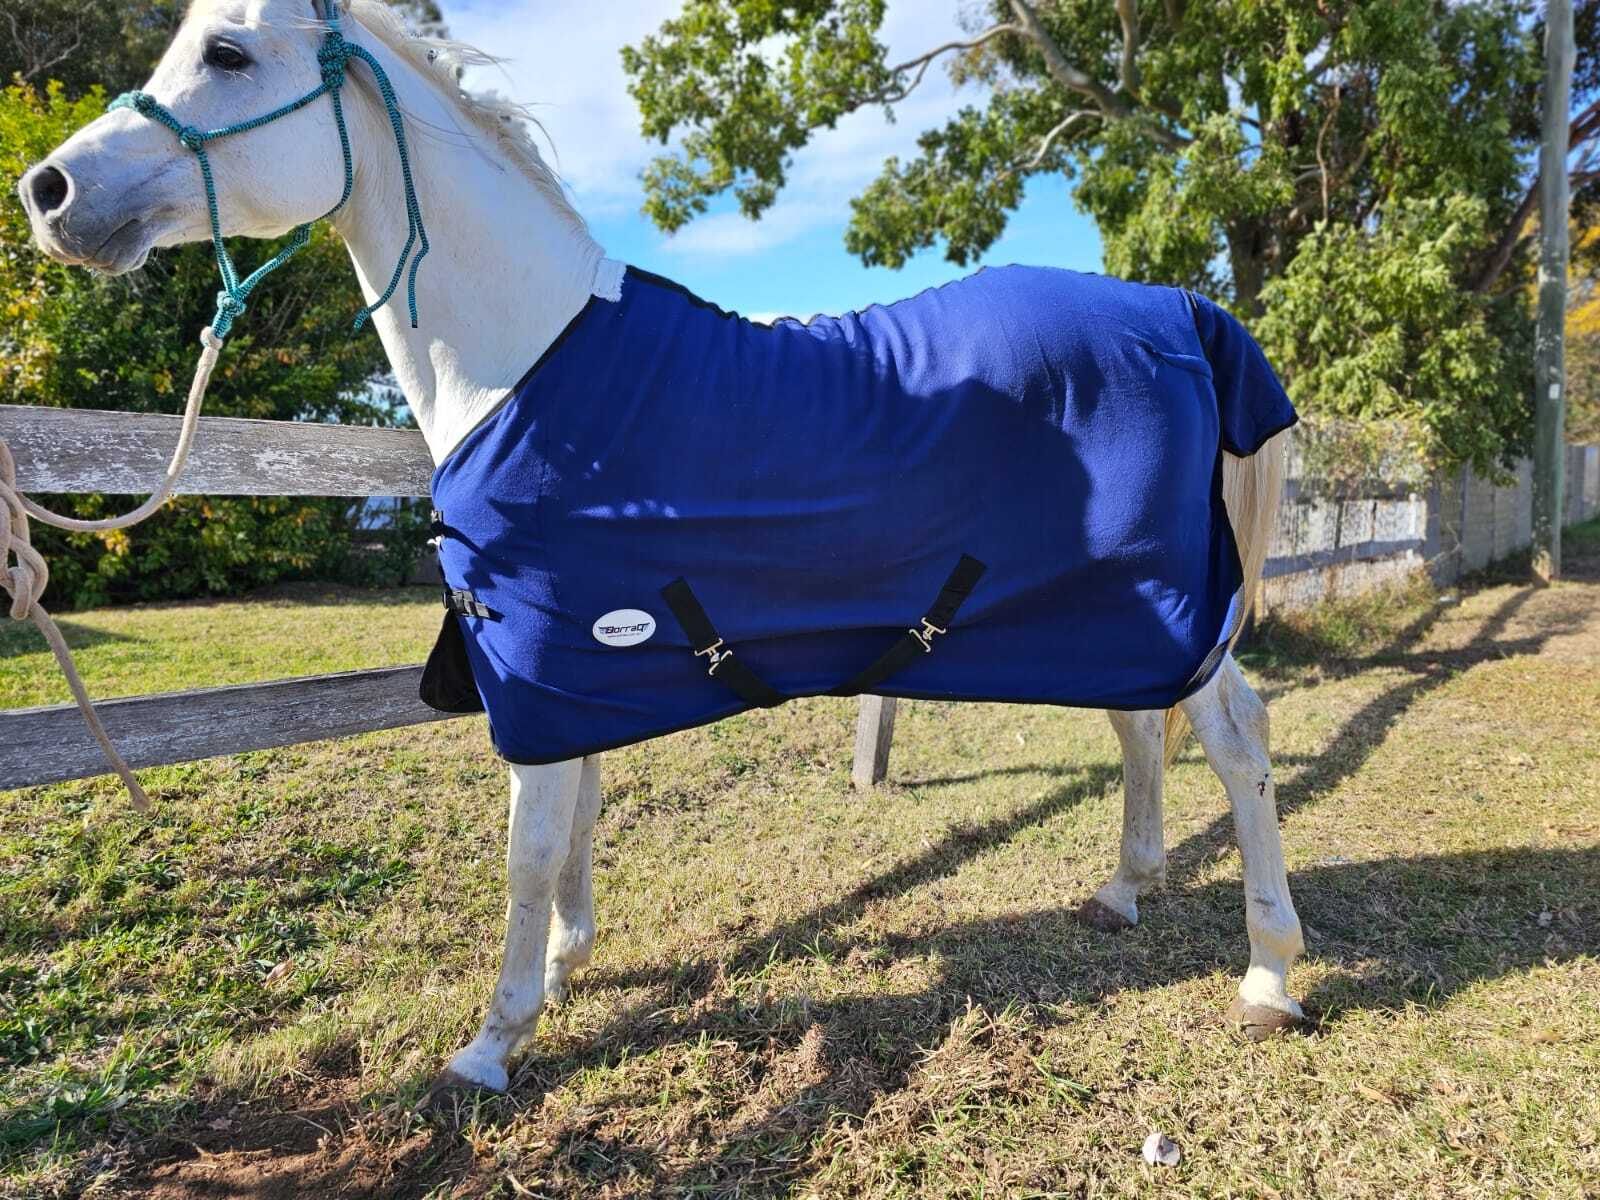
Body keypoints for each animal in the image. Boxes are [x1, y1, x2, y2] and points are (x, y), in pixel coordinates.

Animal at [18, 0, 1306, 1097]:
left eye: (229, 53)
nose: (48, 189)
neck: (529, 374)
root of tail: (1184, 316)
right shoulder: (571, 667)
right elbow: (577, 819)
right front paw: (566, 967)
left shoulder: (540, 663)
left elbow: (530, 848)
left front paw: (493, 1041)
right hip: (1109, 618)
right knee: (1140, 730)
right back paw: (1122, 892)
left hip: (1165, 612)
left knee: (1237, 742)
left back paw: (1267, 975)